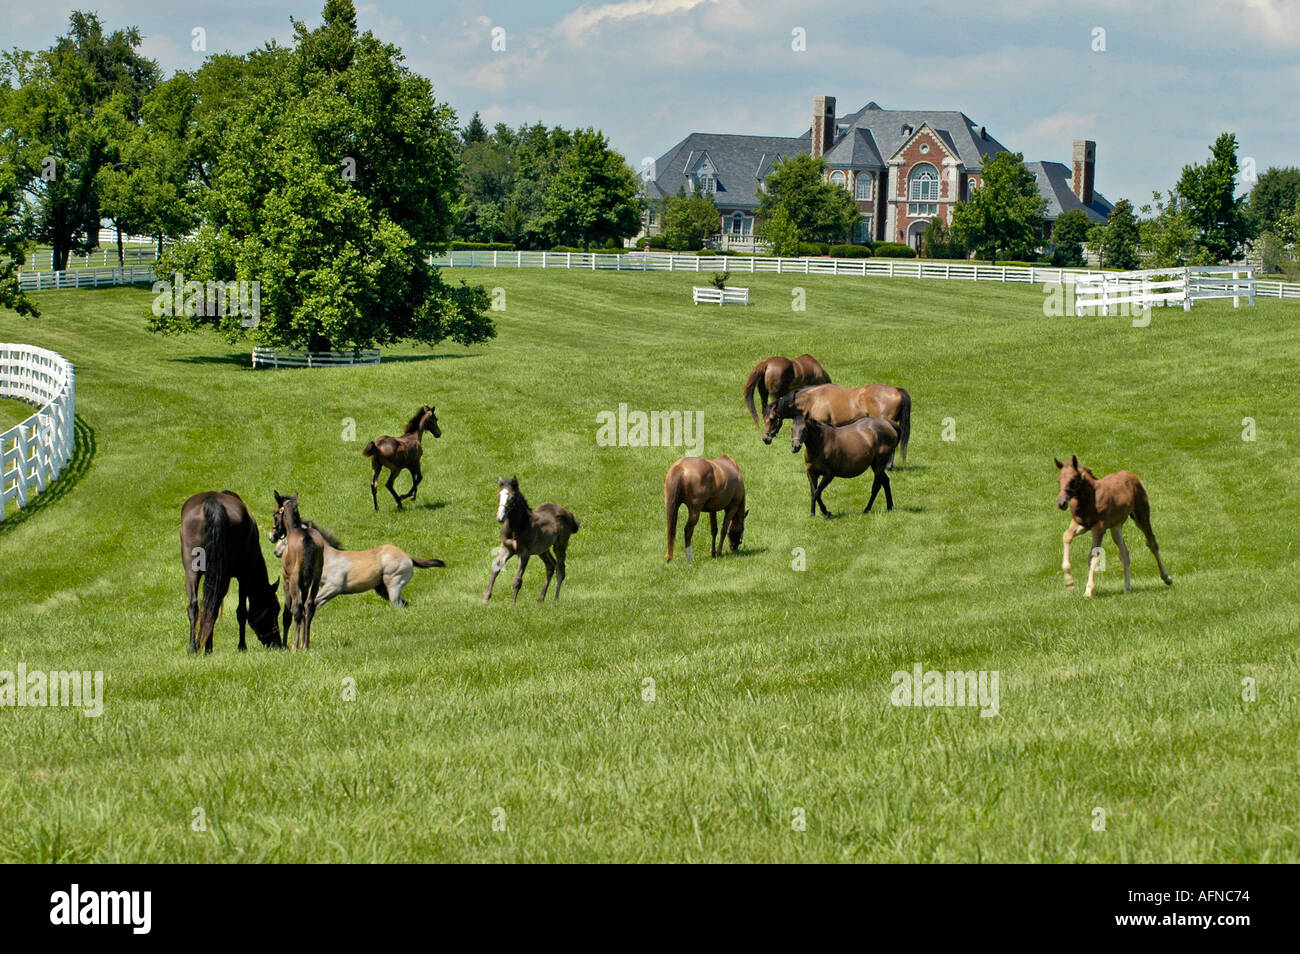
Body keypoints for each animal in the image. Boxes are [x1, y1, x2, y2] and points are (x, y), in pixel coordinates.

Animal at [179, 491, 280, 654]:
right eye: (275, 608)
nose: (278, 643)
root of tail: (212, 502)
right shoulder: (244, 575)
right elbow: (242, 611)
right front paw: (242, 646)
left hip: (191, 571)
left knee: (196, 606)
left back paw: (194, 648)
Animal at [270, 505, 446, 608]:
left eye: (285, 539)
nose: (275, 552)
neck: (328, 558)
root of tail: (409, 558)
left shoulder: (334, 587)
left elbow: (314, 602)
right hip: (382, 588)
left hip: (394, 584)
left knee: (398, 604)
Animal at [272, 492, 324, 649]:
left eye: (274, 514)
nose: (272, 535)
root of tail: (307, 539)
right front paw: (303, 642)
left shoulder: (286, 581)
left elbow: (287, 613)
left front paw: (285, 644)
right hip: (315, 579)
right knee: (309, 606)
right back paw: (305, 644)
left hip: (294, 582)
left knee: (298, 607)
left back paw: (294, 645)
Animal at [483, 476, 579, 604]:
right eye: (498, 495)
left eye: (512, 498)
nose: (500, 517)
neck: (517, 526)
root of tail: (568, 513)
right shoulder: (506, 548)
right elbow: (495, 568)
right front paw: (485, 599)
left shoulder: (524, 553)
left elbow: (517, 579)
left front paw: (513, 603)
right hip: (542, 549)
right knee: (551, 565)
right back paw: (541, 598)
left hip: (560, 545)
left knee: (561, 569)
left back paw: (556, 599)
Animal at [1055, 456, 1173, 597]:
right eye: (1058, 480)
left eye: (1073, 480)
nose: (1061, 503)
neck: (1089, 498)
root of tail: (1133, 475)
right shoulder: (1081, 524)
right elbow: (1066, 536)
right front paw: (1069, 582)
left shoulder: (1099, 528)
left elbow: (1093, 556)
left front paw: (1088, 590)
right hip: (1115, 527)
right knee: (1124, 553)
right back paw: (1127, 587)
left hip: (1141, 515)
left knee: (1152, 543)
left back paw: (1167, 578)